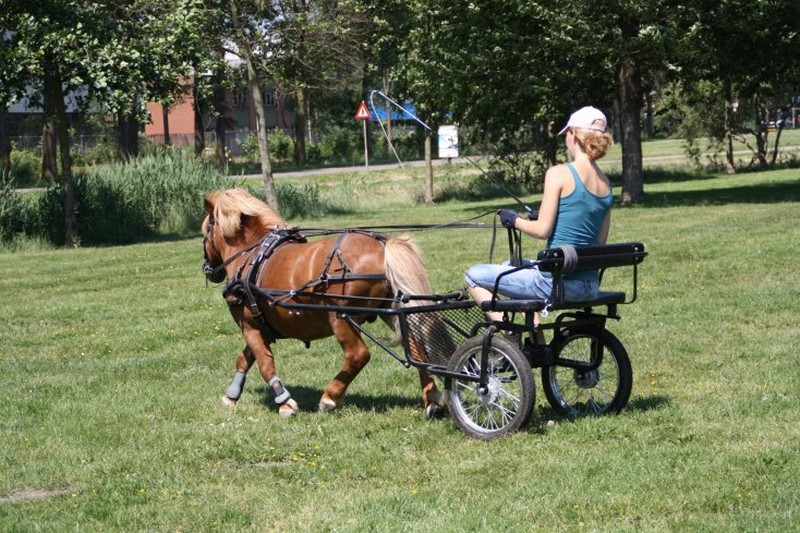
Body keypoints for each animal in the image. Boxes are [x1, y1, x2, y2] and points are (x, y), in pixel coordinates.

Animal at [201, 188, 446, 418]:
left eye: (204, 232)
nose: (208, 268)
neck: (252, 255)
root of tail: (383, 244)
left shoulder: (249, 325)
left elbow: (264, 363)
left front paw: (284, 402)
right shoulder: (263, 327)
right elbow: (244, 359)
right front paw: (231, 395)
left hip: (341, 318)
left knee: (358, 355)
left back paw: (330, 397)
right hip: (390, 310)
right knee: (415, 350)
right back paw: (431, 398)